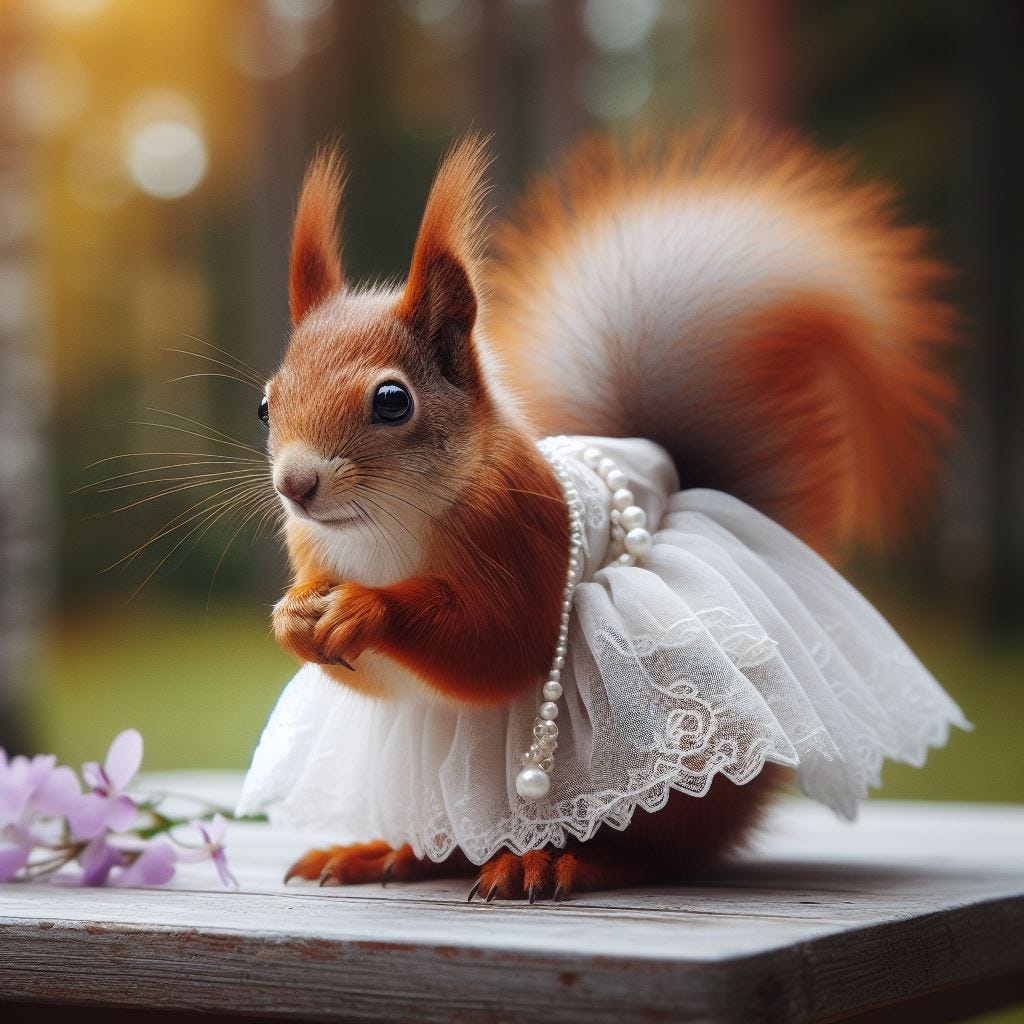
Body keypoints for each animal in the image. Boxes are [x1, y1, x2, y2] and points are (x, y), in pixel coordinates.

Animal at [265, 125, 953, 900]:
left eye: (392, 401)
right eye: (266, 403)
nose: (295, 485)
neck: (386, 525)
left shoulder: (522, 535)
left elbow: (500, 645)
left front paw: (368, 607)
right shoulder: (319, 550)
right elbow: (382, 677)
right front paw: (294, 618)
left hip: (671, 762)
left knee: (663, 853)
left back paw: (553, 859)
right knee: (460, 842)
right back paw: (386, 852)